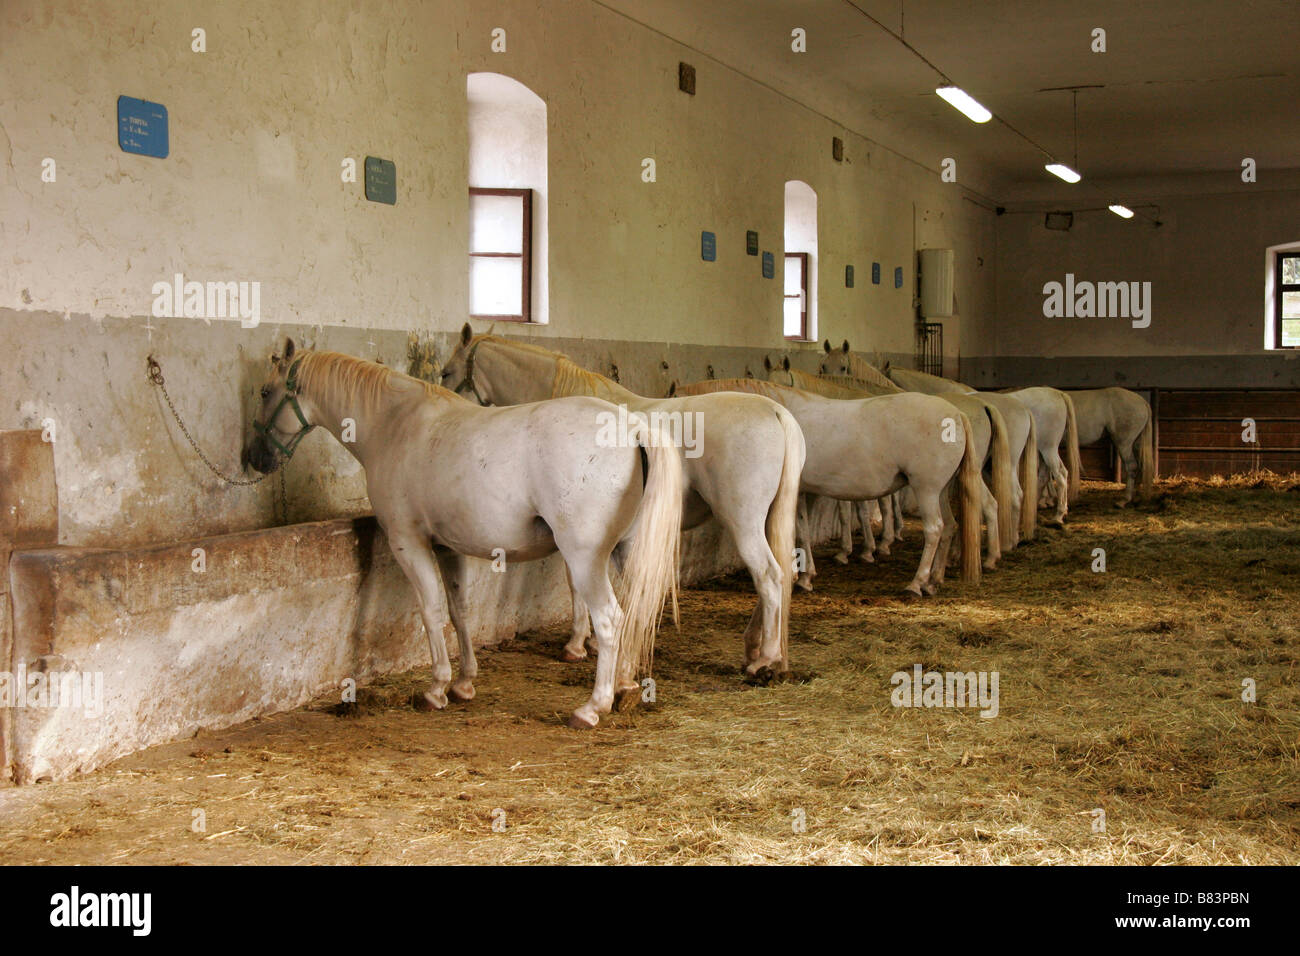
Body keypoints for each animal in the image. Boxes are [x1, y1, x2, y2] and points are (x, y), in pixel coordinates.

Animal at [243, 339, 684, 730]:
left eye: (265, 391)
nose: (253, 457)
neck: (395, 423)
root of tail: (633, 427)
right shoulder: (447, 548)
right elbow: (459, 611)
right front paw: (464, 682)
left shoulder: (409, 545)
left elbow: (431, 611)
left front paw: (436, 688)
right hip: (625, 553)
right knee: (636, 612)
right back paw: (625, 686)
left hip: (585, 559)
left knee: (610, 619)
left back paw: (592, 707)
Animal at [438, 326, 805, 677]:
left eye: (445, 372)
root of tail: (776, 411)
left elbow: (576, 583)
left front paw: (577, 643)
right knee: (780, 575)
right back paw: (756, 648)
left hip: (743, 521)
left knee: (769, 576)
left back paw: (764, 659)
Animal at [668, 377, 983, 596]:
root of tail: (957, 414)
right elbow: (802, 530)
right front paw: (806, 576)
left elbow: (794, 531)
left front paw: (799, 576)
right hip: (939, 490)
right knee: (950, 526)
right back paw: (934, 581)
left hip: (926, 489)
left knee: (935, 529)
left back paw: (917, 583)